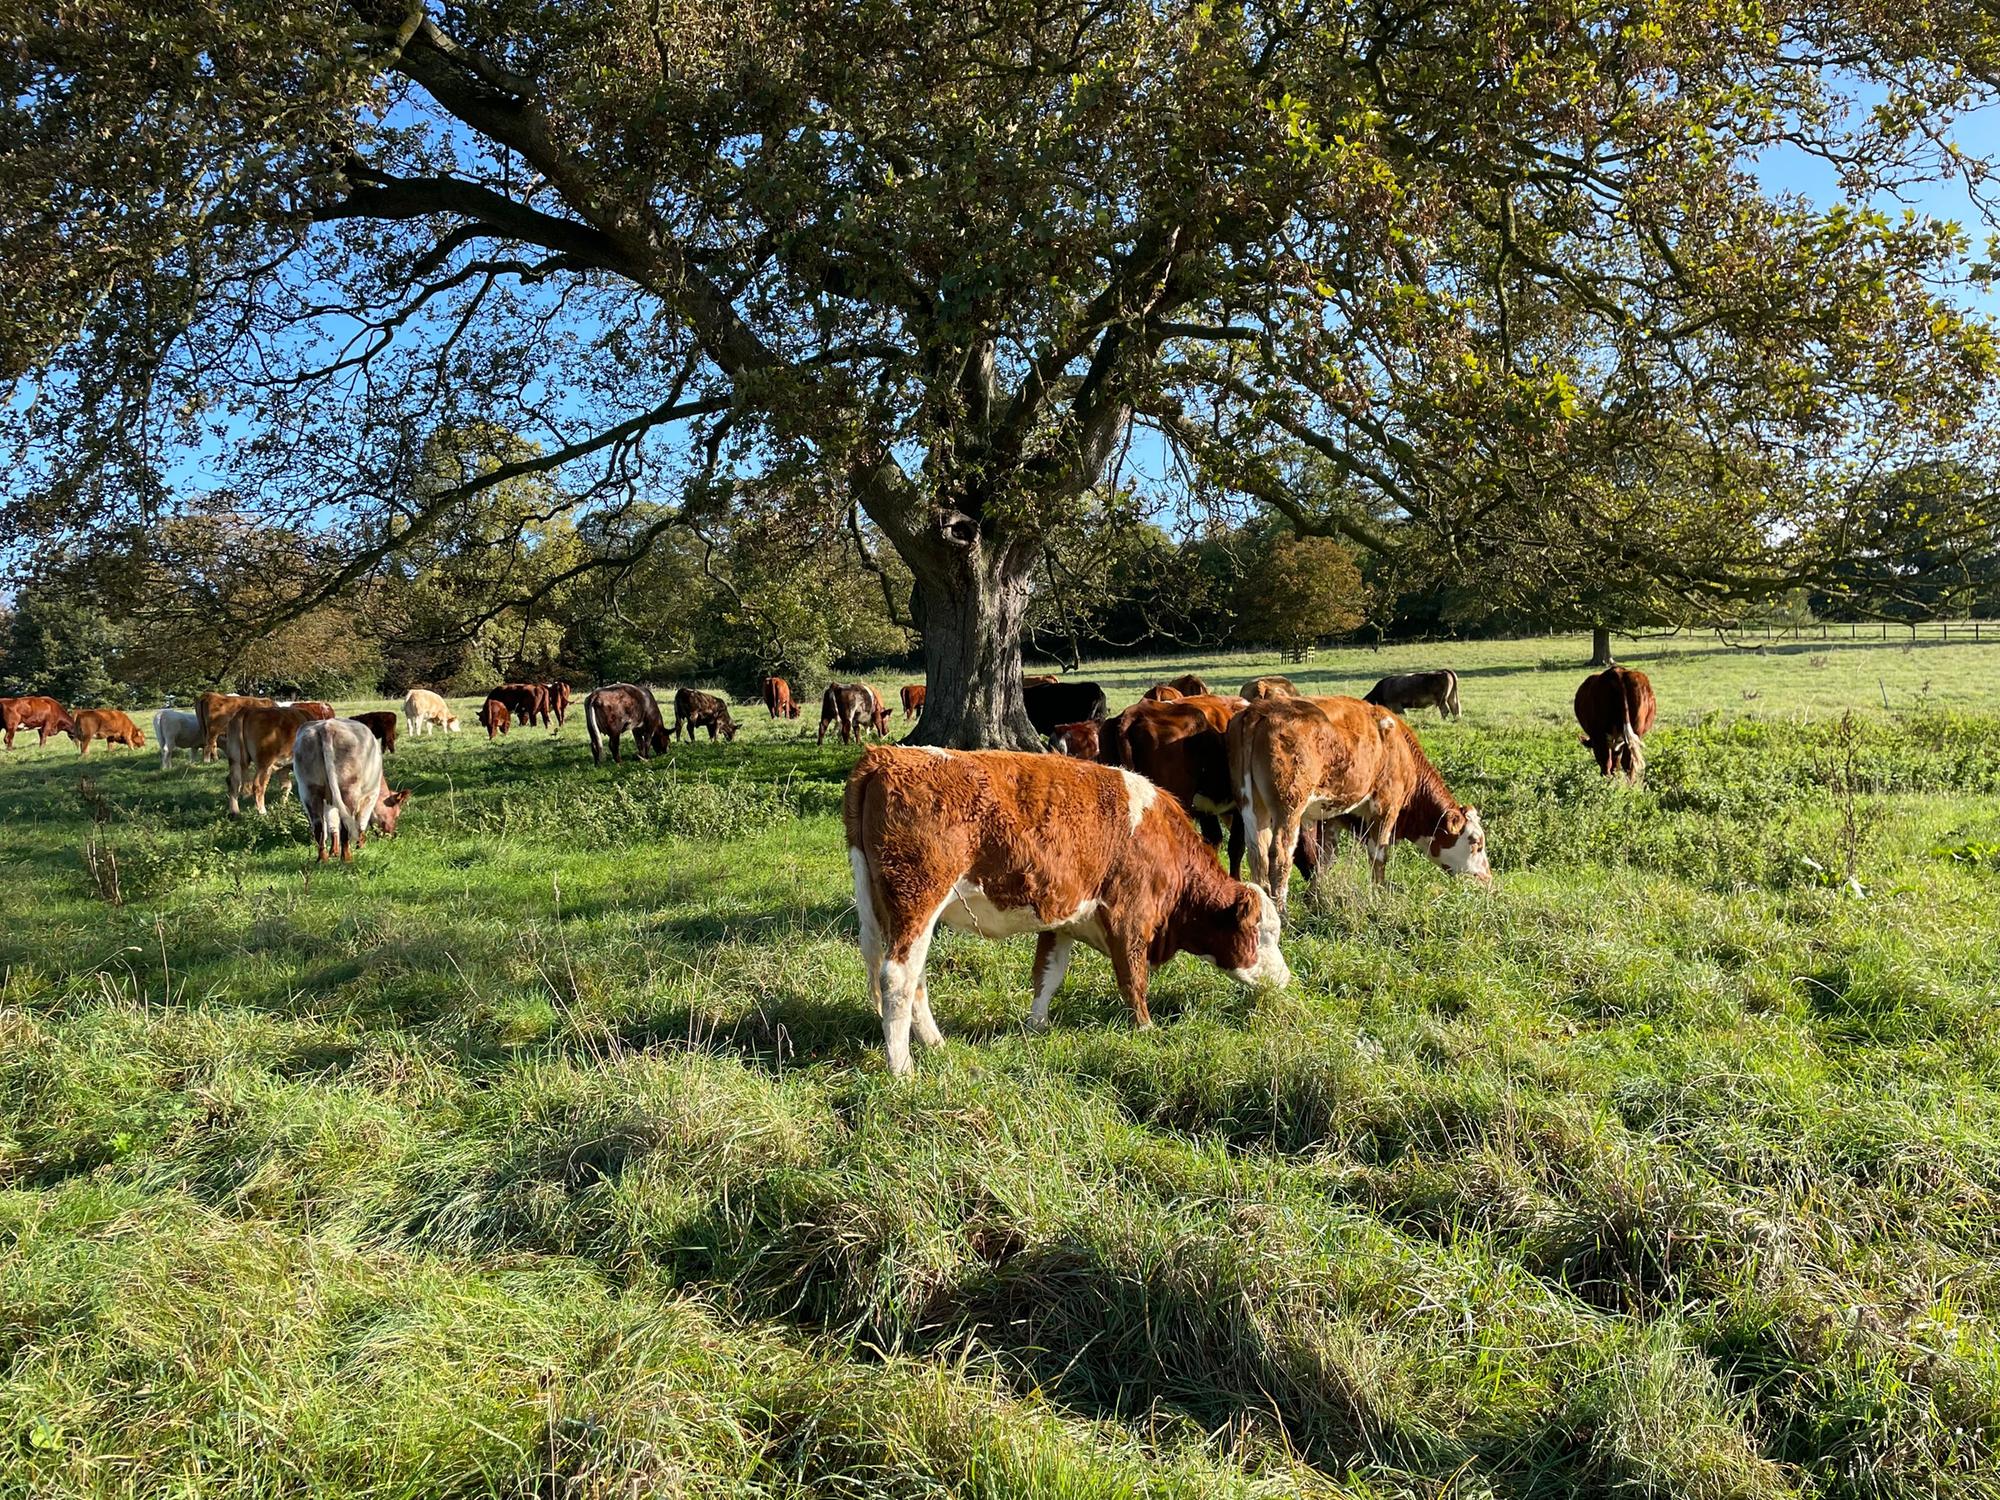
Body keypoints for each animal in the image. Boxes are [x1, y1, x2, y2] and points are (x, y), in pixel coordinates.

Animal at [292, 718, 410, 861]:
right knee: (346, 824)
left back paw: (322, 858)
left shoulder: (328, 799)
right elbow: (362, 821)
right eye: (396, 814)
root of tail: (327, 726)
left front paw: (334, 851)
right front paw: (360, 845)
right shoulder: (370, 795)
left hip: (308, 789)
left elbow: (332, 821)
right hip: (349, 789)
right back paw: (347, 857)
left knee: (319, 826)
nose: (392, 835)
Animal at [844, 747, 1289, 1075]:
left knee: (914, 976)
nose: (1285, 979)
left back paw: (936, 1045)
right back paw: (902, 1070)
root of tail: (886, 755)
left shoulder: (1063, 920)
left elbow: (1048, 975)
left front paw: (1037, 1027)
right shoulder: (1129, 916)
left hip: (894, 912)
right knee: (897, 978)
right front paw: (1146, 1030)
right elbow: (1133, 979)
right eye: (1263, 933)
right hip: (917, 900)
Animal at [1228, 696, 1490, 912]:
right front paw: (1378, 895)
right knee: (1280, 855)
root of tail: (1261, 709)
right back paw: (1282, 912)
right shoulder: (1386, 807)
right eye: (1476, 842)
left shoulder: (1334, 814)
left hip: (1252, 806)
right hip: (1289, 807)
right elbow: (1378, 855)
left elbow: (1327, 857)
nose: (1487, 878)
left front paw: (1314, 897)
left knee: (1258, 853)